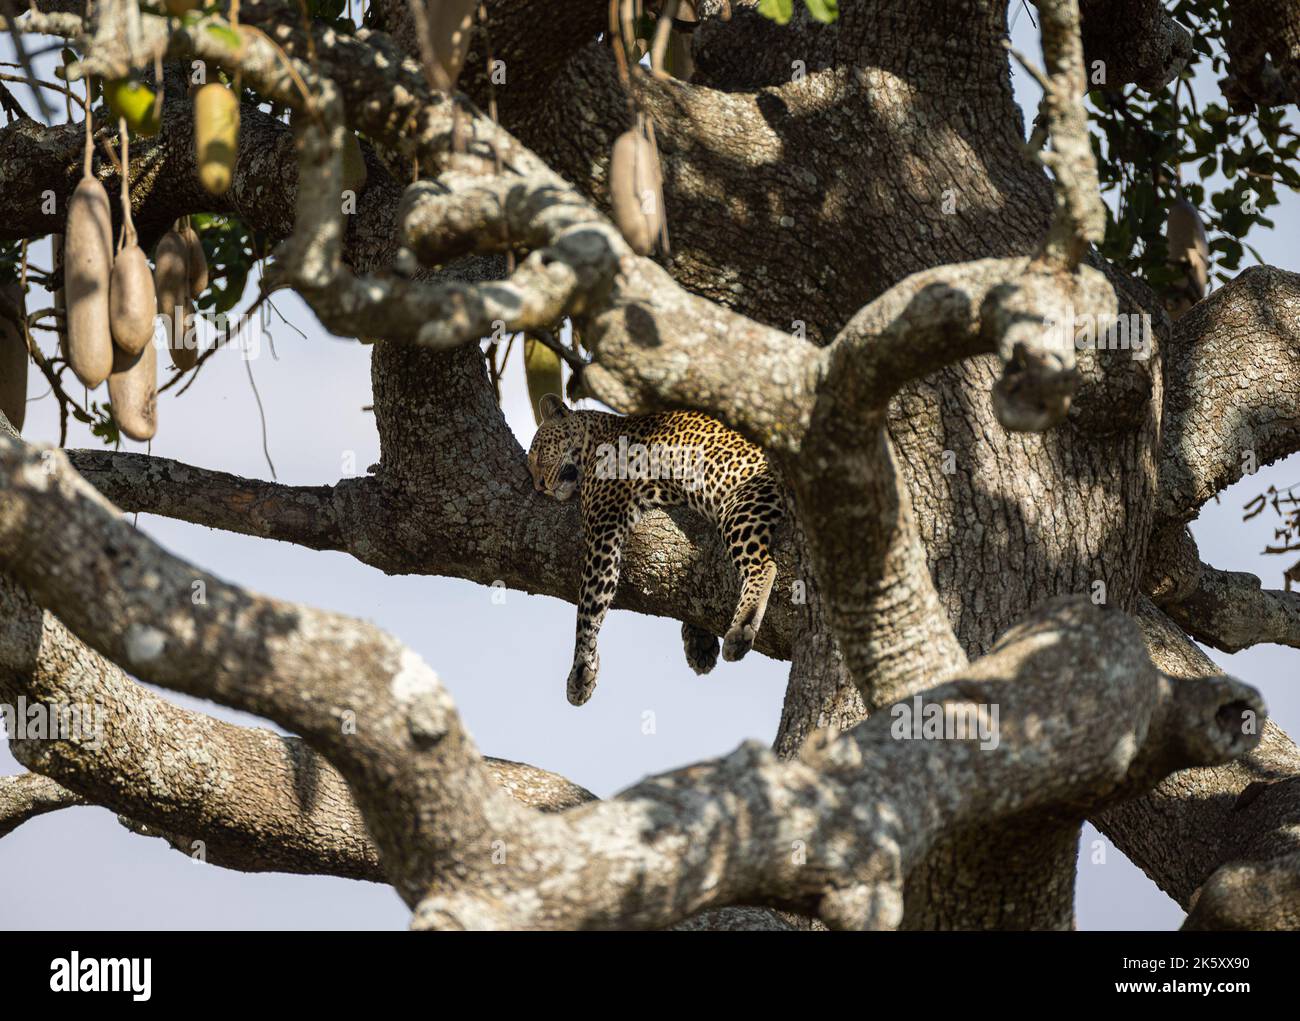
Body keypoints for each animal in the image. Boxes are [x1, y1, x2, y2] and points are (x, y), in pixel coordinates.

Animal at [528, 394, 784, 706]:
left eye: (540, 453)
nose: (540, 487)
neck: (600, 433)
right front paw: (699, 641)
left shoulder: (604, 531)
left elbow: (588, 607)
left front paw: (580, 671)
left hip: (740, 504)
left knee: (764, 566)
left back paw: (740, 631)